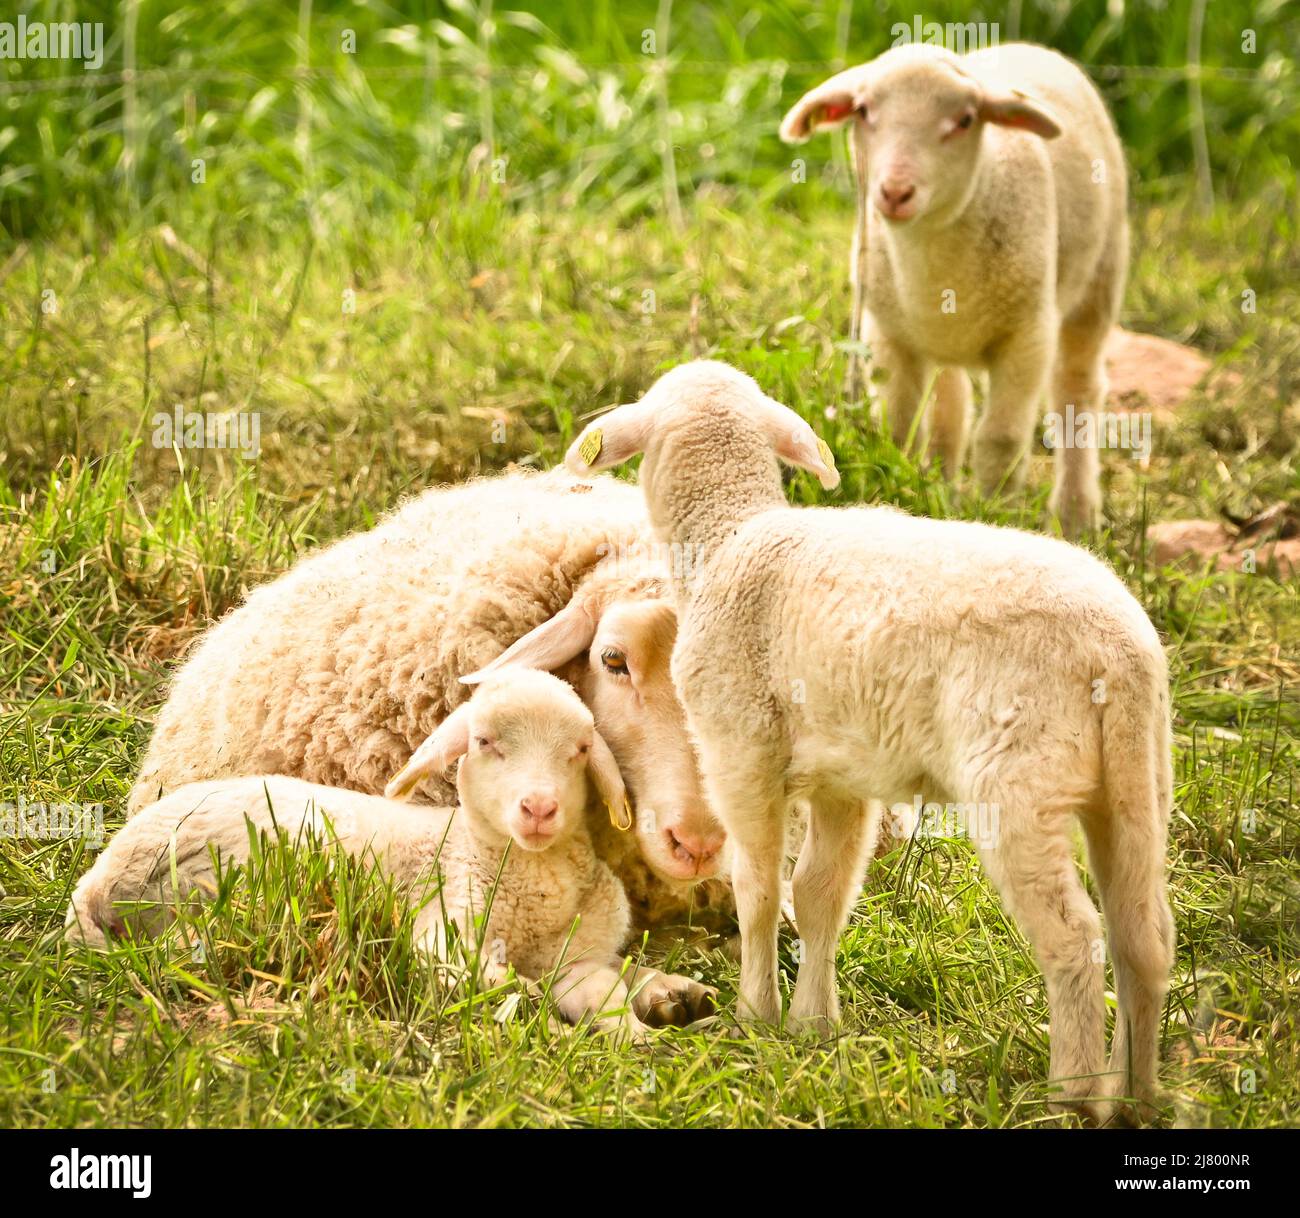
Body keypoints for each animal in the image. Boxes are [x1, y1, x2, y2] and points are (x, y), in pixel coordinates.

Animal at [71, 670, 716, 1036]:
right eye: (484, 742)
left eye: (581, 750)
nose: (538, 807)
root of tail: (100, 877)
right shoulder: (445, 922)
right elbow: (479, 974)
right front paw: (528, 1004)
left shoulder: (577, 959)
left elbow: (607, 990)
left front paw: (654, 1009)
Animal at [564, 360, 1174, 1123]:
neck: (730, 537)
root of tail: (1115, 651)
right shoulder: (842, 777)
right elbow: (819, 894)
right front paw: (813, 1027)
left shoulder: (739, 747)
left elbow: (758, 888)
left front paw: (755, 1016)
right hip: (1136, 771)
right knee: (1142, 935)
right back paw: (1140, 1095)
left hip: (1021, 777)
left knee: (1073, 938)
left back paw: (1075, 1096)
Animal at [780, 41, 1128, 537]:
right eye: (863, 111)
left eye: (965, 120)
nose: (895, 191)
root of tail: (1030, 46)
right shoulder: (888, 332)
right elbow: (899, 427)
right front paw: (902, 488)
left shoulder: (1027, 336)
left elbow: (1001, 438)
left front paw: (997, 511)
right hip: (942, 337)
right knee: (951, 406)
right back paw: (939, 483)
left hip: (1100, 278)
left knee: (1076, 392)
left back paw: (1075, 515)